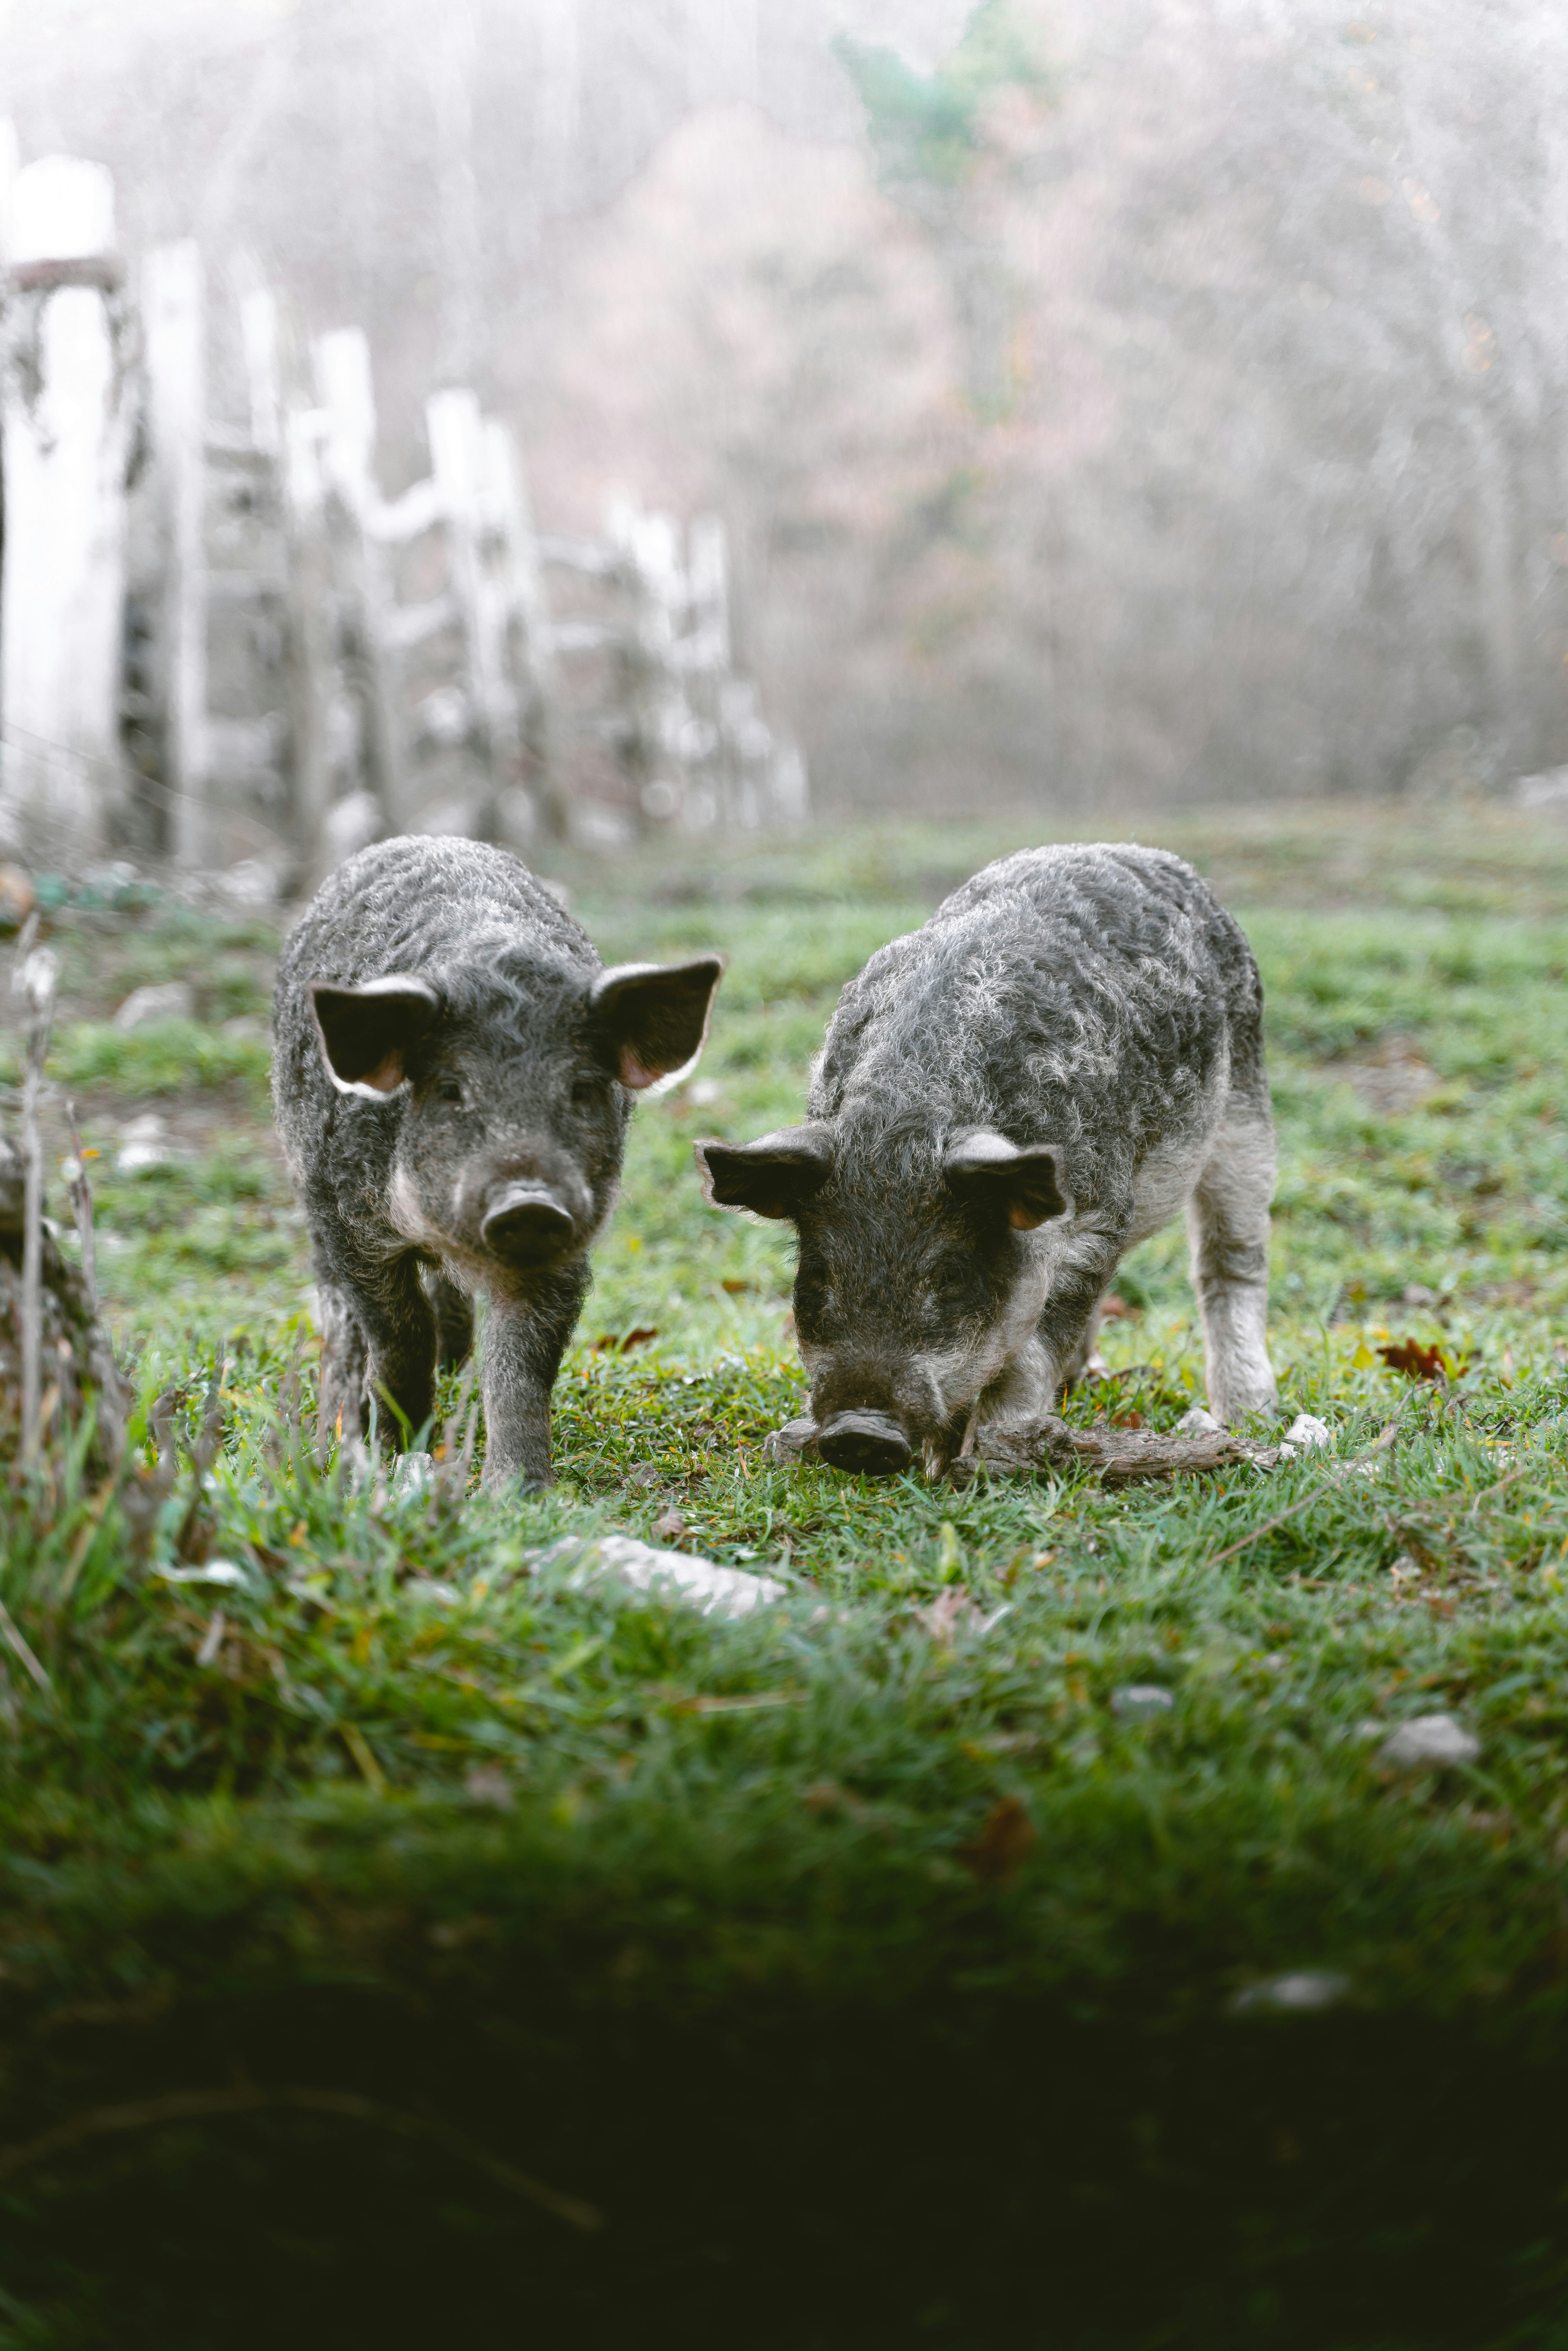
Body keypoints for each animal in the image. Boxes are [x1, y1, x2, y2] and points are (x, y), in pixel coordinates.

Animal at [272, 835, 722, 1487]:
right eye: (451, 1089)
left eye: (582, 1087)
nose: (528, 1201)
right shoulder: (351, 1221)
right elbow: (399, 1337)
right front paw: (394, 1454)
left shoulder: (564, 1245)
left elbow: (520, 1365)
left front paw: (517, 1490)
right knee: (340, 1315)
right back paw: (334, 1426)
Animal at [696, 844, 1277, 1478]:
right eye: (818, 1273)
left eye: (949, 1275)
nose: (861, 1432)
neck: (903, 1122)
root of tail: (1143, 853)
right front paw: (793, 1441)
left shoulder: (1096, 1217)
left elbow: (1032, 1352)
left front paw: (991, 1451)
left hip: (1245, 1113)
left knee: (1229, 1262)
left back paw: (1249, 1415)